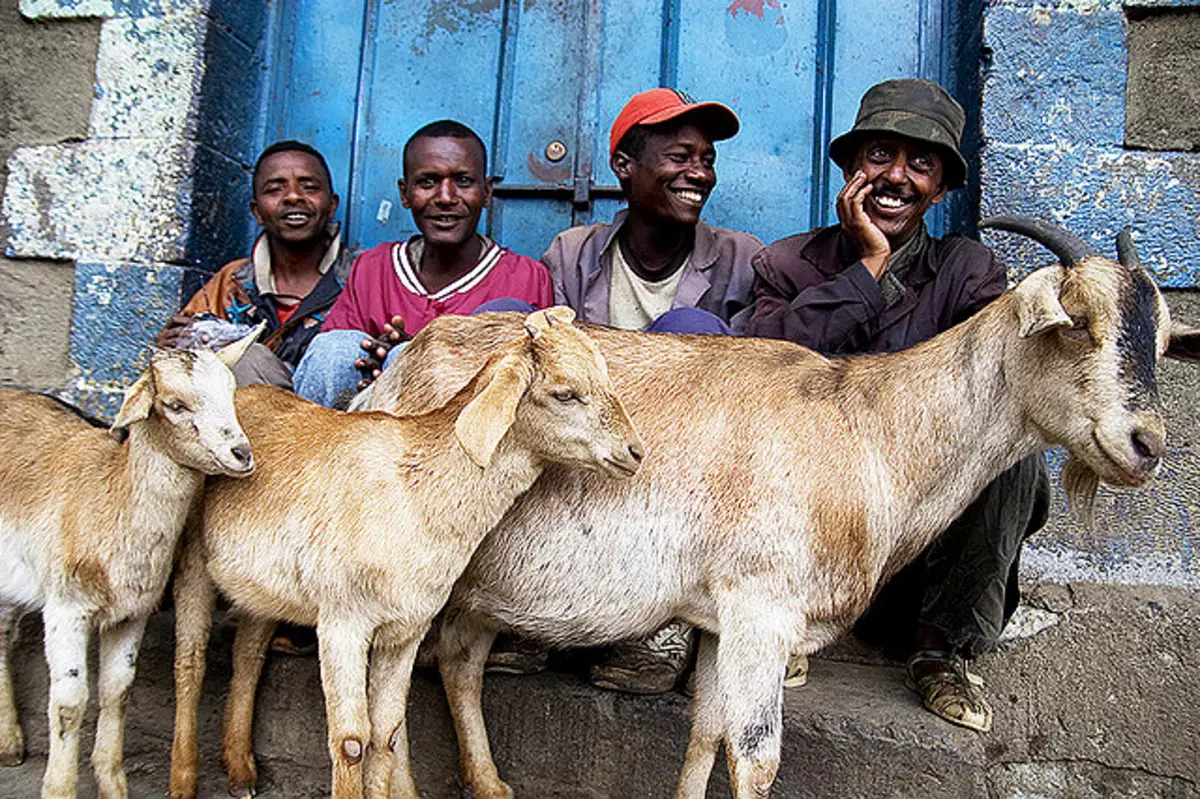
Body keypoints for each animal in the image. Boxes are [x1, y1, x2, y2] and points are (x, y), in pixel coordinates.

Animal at [0, 333, 255, 796]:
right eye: (174, 404)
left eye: (230, 391)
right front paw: (59, 787)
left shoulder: (133, 610)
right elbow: (69, 703)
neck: (112, 496)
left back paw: (9, 740)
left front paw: (112, 782)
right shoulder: (66, 607)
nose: (241, 453)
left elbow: (117, 690)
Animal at [164, 305, 643, 796]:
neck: (416, 486)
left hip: (262, 588)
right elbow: (351, 741)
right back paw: (184, 779)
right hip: (193, 560)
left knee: (248, 654)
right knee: (190, 662)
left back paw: (241, 768)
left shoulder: (406, 628)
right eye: (565, 394)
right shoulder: (342, 622)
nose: (635, 451)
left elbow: (387, 731)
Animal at [352, 214, 1200, 791]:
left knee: (457, 663)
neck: (867, 428)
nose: (1146, 444)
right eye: (1076, 322)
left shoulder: (721, 618)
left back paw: (490, 781)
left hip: (476, 585)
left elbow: (704, 733)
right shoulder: (764, 606)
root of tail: (392, 373)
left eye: (1161, 338)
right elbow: (754, 754)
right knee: (389, 691)